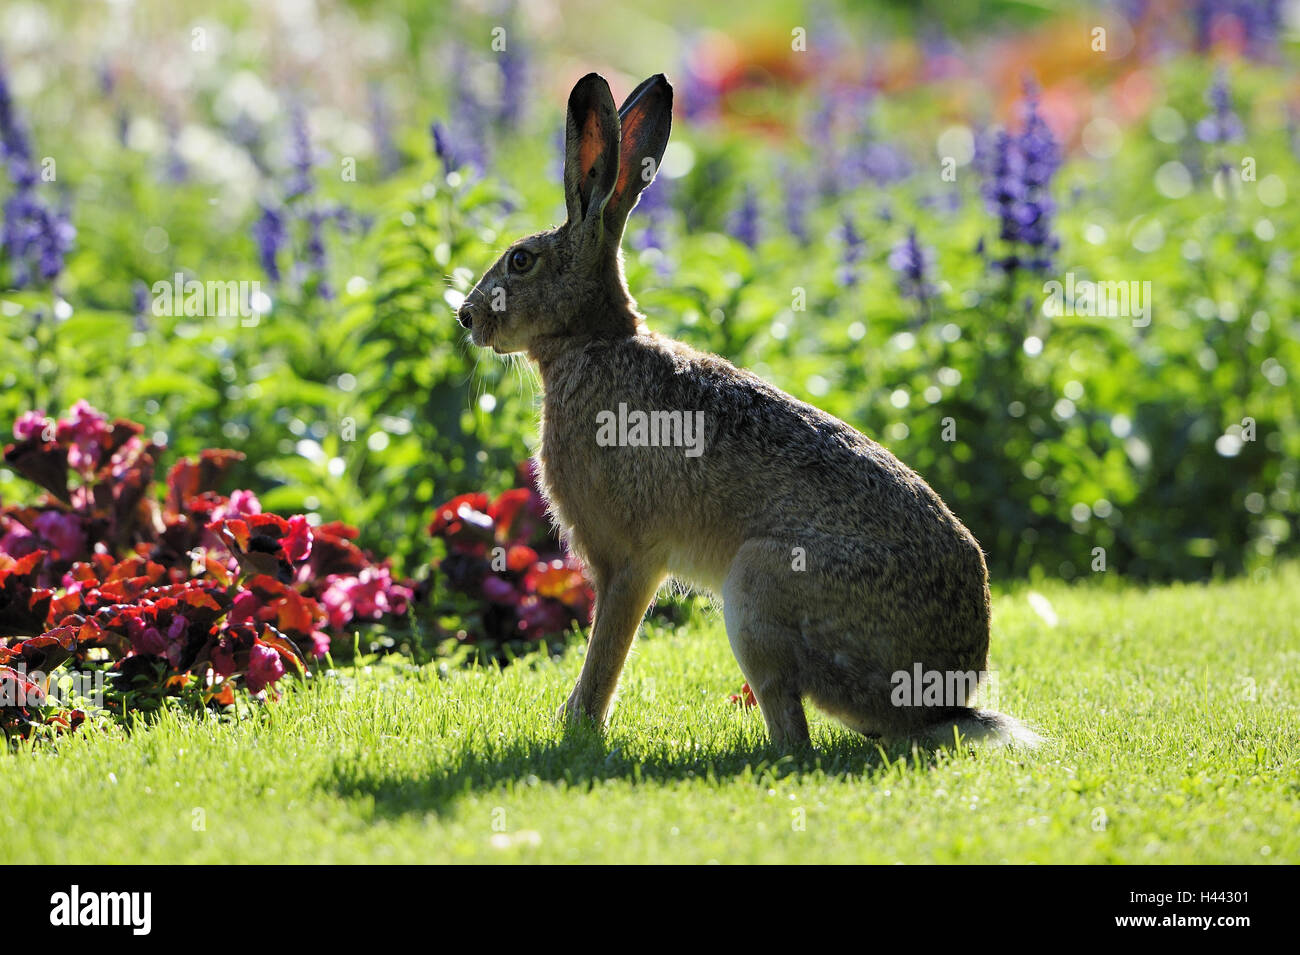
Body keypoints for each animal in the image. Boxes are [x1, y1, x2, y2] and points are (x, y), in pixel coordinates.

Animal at [456, 72, 1041, 749]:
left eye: (521, 260)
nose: (466, 317)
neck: (591, 340)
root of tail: (944, 699)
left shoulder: (628, 561)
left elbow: (607, 650)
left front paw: (577, 727)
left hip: (758, 588)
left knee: (792, 730)